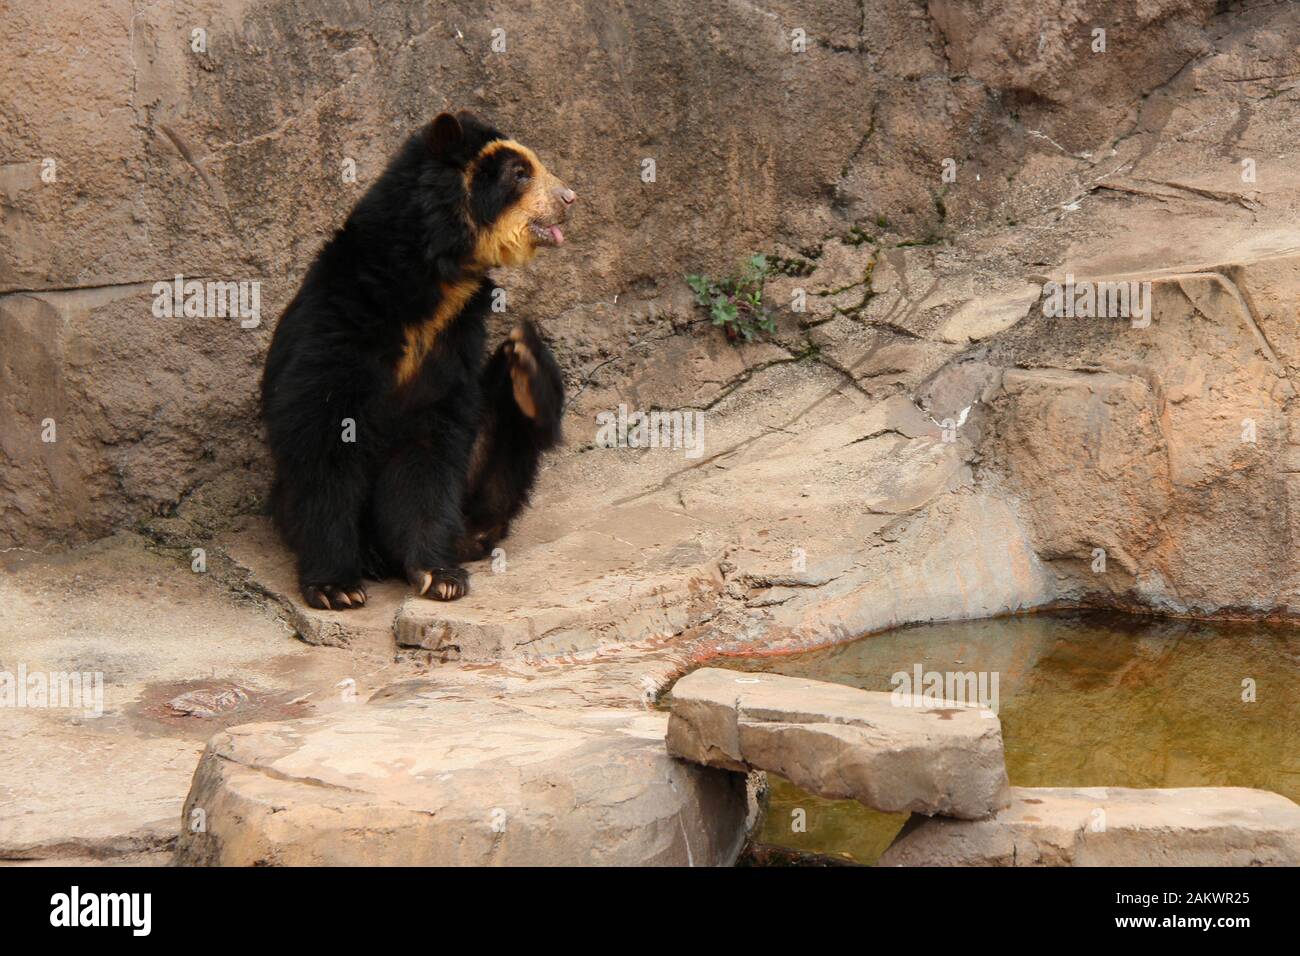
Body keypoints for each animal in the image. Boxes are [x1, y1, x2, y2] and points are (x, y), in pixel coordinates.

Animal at [260, 111, 574, 610]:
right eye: (520, 173)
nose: (569, 198)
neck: (436, 282)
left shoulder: (453, 340)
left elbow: (431, 446)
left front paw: (439, 575)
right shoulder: (342, 320)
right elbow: (321, 435)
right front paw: (335, 587)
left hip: (476, 488)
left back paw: (526, 366)